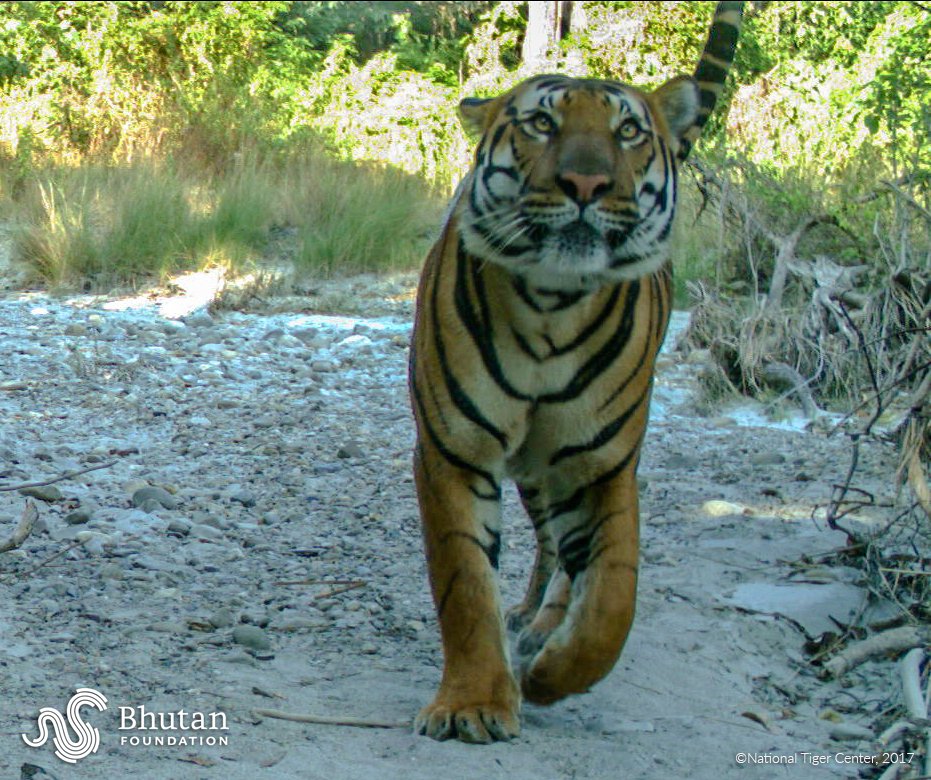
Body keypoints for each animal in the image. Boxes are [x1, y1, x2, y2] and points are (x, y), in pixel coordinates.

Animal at [408, 1, 744, 743]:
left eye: (627, 132)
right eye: (542, 124)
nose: (587, 184)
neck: (550, 305)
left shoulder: (601, 465)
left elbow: (612, 600)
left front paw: (550, 676)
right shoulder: (454, 451)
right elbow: (464, 585)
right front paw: (473, 703)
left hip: (560, 468)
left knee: (569, 557)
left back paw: (543, 630)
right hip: (531, 471)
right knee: (545, 546)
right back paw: (527, 619)